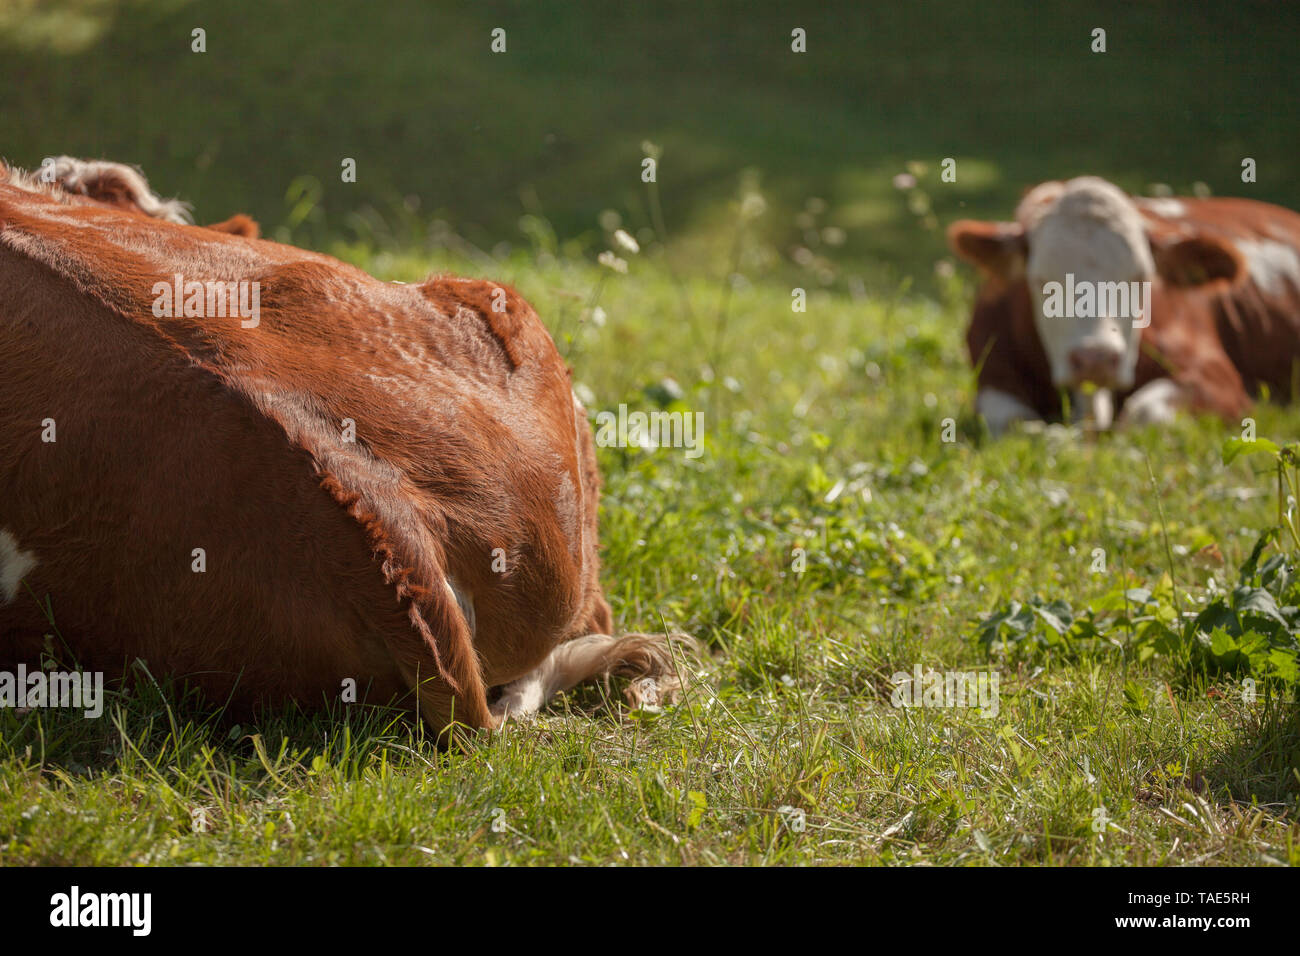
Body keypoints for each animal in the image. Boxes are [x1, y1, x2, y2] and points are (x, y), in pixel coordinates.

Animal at [947, 176, 1300, 433]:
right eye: (1041, 280)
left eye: (1141, 278)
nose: (1096, 358)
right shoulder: (993, 372)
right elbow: (1015, 423)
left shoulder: (1219, 380)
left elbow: (1143, 412)